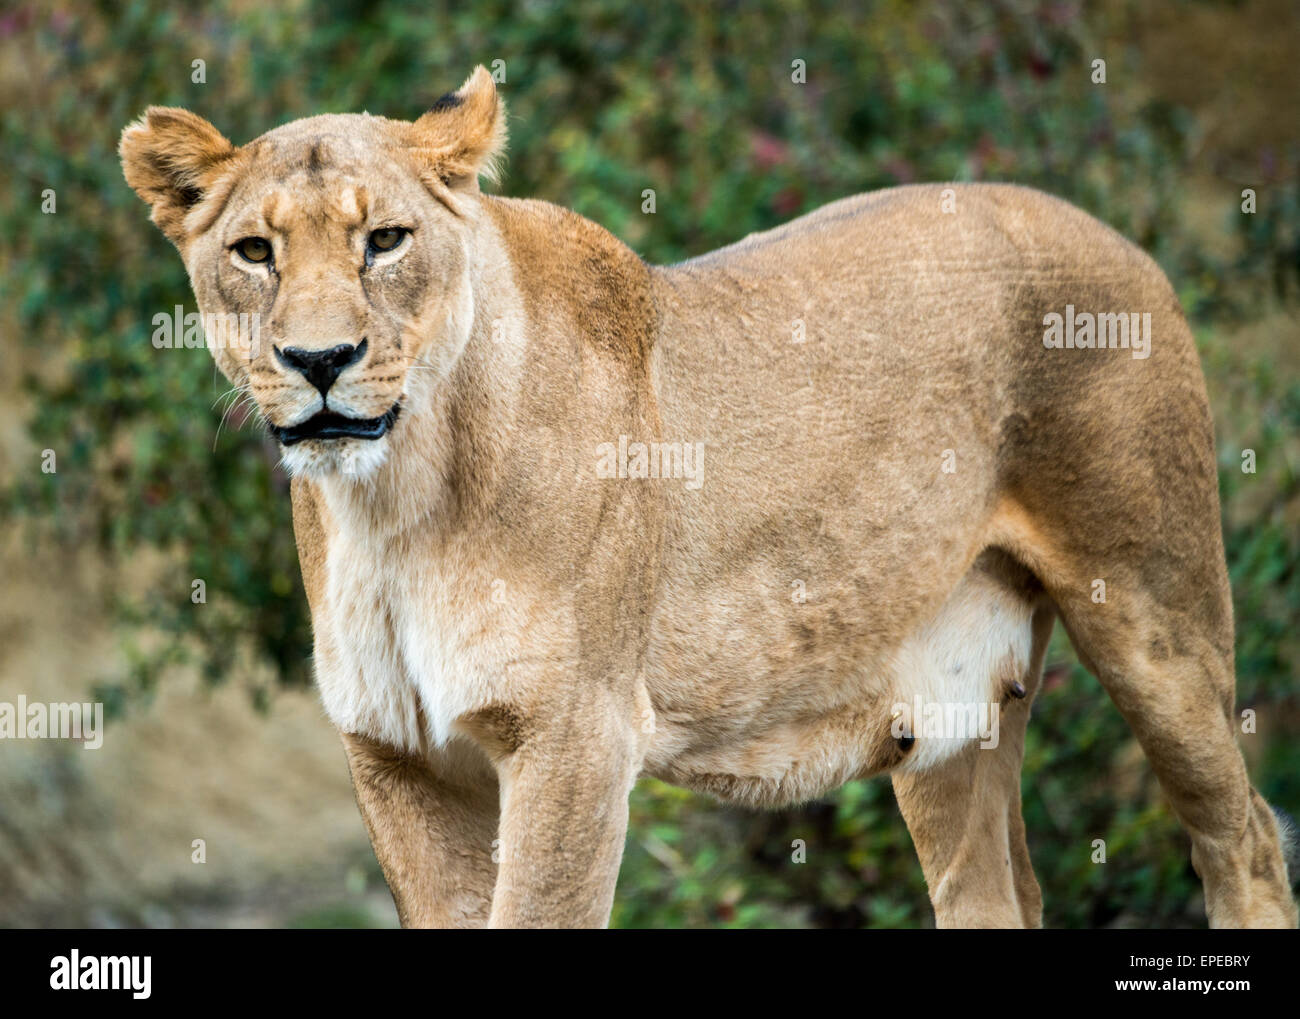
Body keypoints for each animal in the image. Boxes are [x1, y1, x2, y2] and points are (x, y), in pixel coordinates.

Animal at [121, 66, 1298, 928]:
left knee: (1245, 837)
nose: (319, 361)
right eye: (255, 252)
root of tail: (1117, 237)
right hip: (952, 705)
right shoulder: (396, 754)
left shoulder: (573, 738)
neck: (397, 503)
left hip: (1154, 616)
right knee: (994, 893)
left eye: (385, 240)